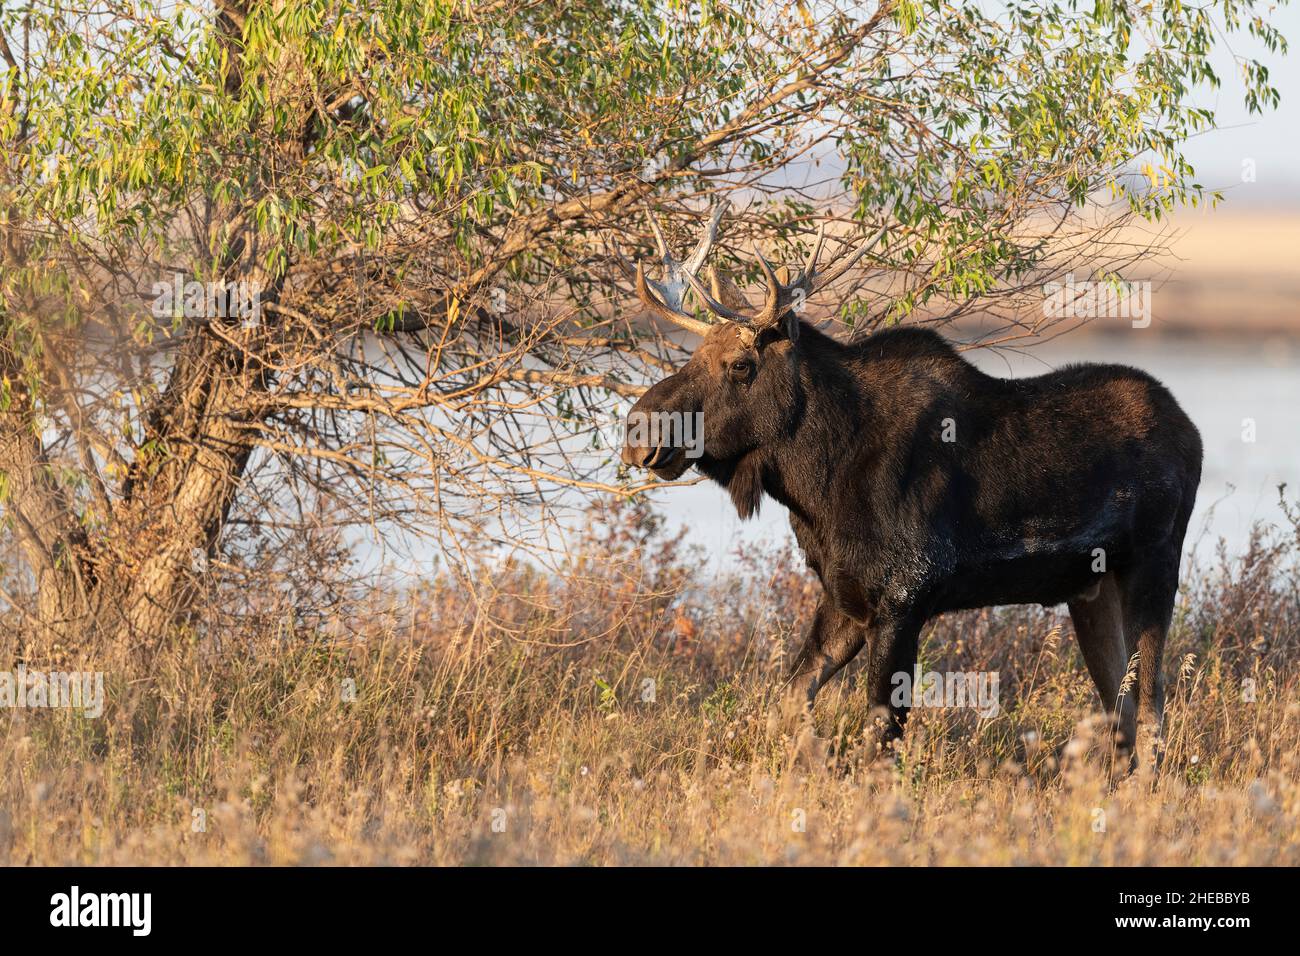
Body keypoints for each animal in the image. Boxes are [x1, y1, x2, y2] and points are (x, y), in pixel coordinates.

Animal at [618, 204, 1203, 773]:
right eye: (691, 356)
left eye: (740, 365)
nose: (638, 429)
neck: (818, 482)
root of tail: (1191, 432)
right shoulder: (847, 596)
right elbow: (788, 703)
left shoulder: (904, 598)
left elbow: (879, 739)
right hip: (1091, 589)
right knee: (1121, 707)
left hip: (1153, 565)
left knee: (1152, 705)